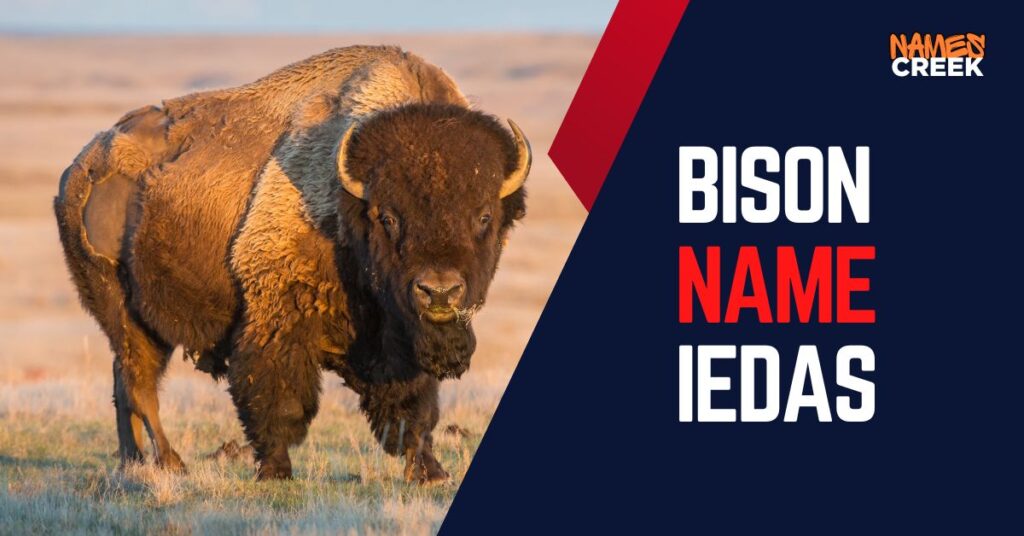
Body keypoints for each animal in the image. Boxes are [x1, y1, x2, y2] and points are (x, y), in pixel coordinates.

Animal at [54, 46, 530, 482]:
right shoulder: (278, 318)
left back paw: (132, 462)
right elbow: (278, 398)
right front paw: (275, 472)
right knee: (139, 384)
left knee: (124, 385)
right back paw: (172, 464)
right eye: (388, 217)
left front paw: (431, 472)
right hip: (122, 311)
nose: (439, 291)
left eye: (484, 216)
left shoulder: (400, 341)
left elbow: (413, 408)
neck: (348, 205)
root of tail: (80, 168)